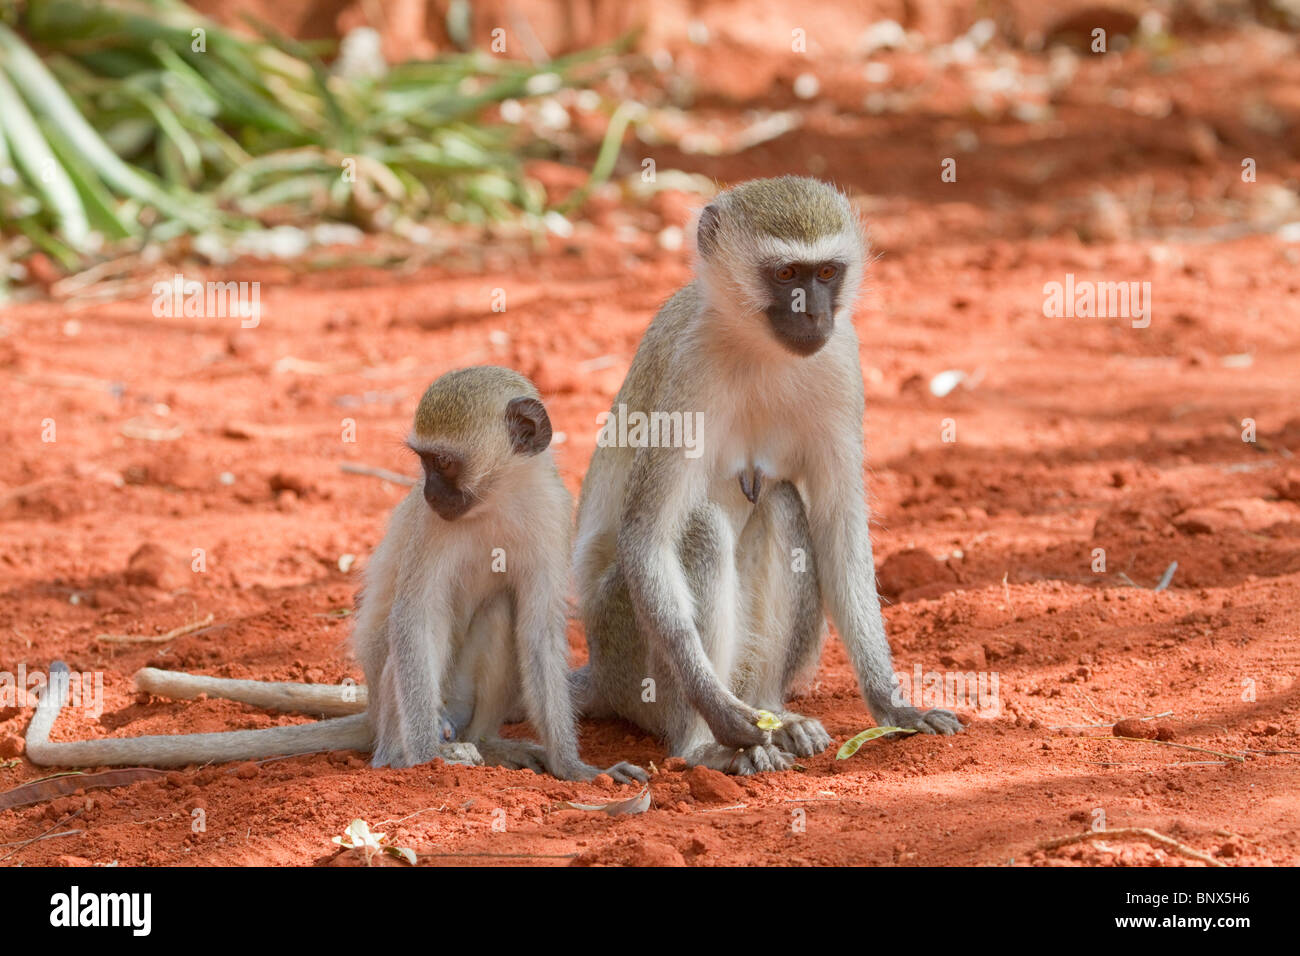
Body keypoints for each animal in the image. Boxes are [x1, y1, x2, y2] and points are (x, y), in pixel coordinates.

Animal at [26, 367, 646, 785]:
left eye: (443, 464)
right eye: (423, 462)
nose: (428, 493)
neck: (498, 500)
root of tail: (373, 714)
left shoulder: (552, 516)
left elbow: (538, 632)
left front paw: (574, 767)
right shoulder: (432, 530)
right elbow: (414, 620)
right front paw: (430, 759)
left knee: (502, 614)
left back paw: (489, 745)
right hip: (405, 703)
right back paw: (407, 755)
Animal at [570, 176, 964, 775]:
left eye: (825, 274)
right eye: (785, 275)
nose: (814, 315)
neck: (757, 345)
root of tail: (598, 670)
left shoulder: (841, 360)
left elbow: (839, 530)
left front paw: (894, 705)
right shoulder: (688, 370)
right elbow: (647, 536)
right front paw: (719, 714)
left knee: (781, 505)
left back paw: (776, 715)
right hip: (621, 648)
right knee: (701, 528)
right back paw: (703, 745)